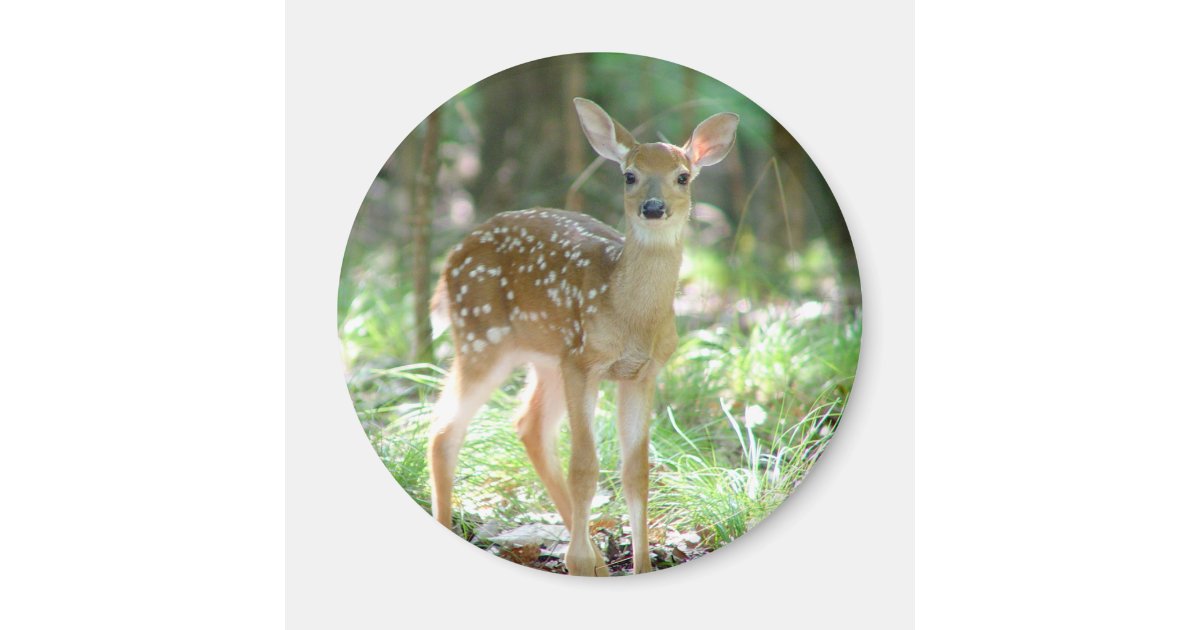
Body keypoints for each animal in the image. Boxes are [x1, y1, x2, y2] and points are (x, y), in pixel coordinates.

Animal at [426, 98, 739, 576]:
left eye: (682, 176)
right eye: (629, 174)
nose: (653, 207)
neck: (628, 315)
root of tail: (450, 261)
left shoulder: (642, 372)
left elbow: (635, 472)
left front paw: (641, 568)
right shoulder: (583, 361)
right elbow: (586, 468)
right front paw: (573, 561)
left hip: (544, 357)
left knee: (529, 425)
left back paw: (599, 564)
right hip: (483, 337)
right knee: (445, 429)